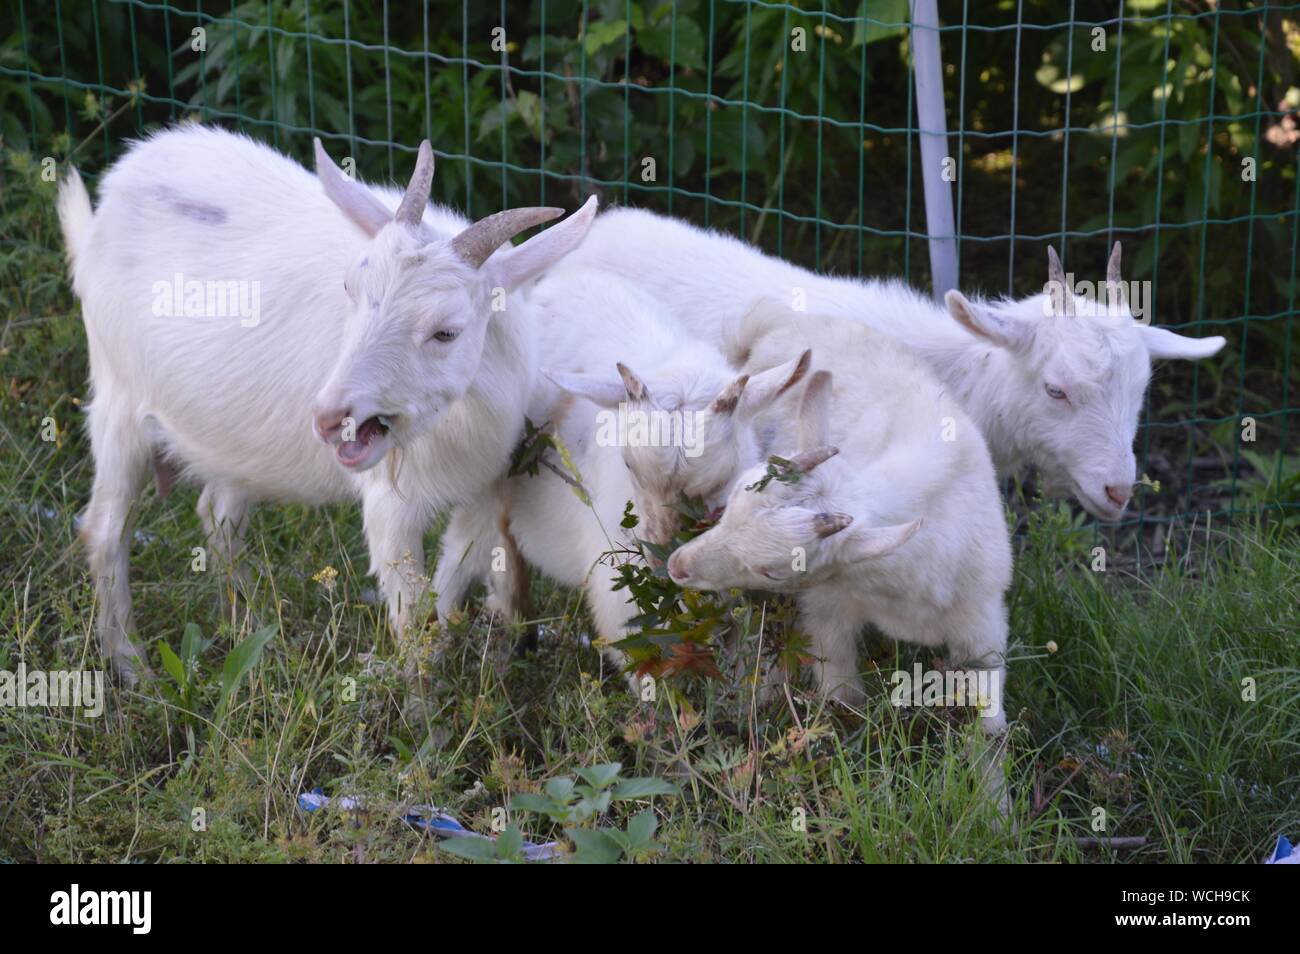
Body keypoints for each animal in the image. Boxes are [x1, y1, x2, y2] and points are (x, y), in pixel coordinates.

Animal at [57, 124, 595, 682]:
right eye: (350, 288)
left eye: (446, 331)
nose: (332, 417)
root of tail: (112, 193)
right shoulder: (391, 506)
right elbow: (412, 622)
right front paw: (419, 702)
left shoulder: (488, 488)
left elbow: (447, 594)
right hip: (118, 400)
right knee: (105, 529)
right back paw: (133, 666)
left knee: (218, 516)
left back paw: (251, 632)